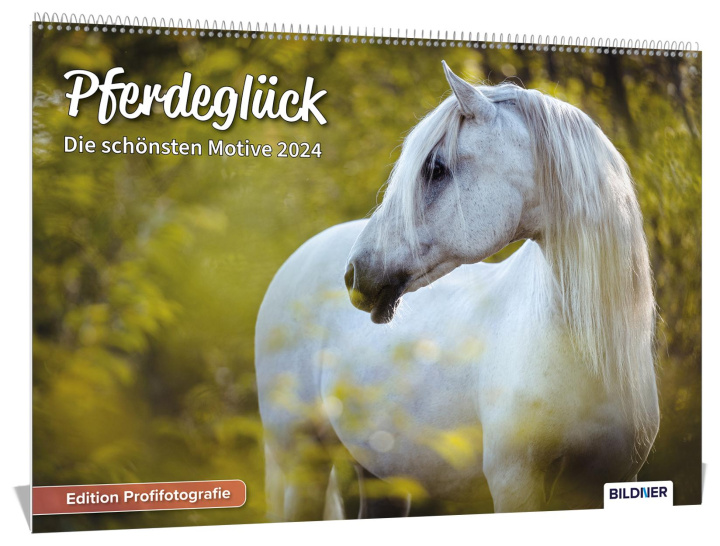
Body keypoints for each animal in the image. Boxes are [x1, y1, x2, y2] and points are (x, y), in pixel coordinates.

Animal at [254, 61, 659, 520]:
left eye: (435, 168)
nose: (355, 275)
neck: (588, 353)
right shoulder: (515, 482)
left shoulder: (610, 480)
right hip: (301, 465)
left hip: (379, 476)